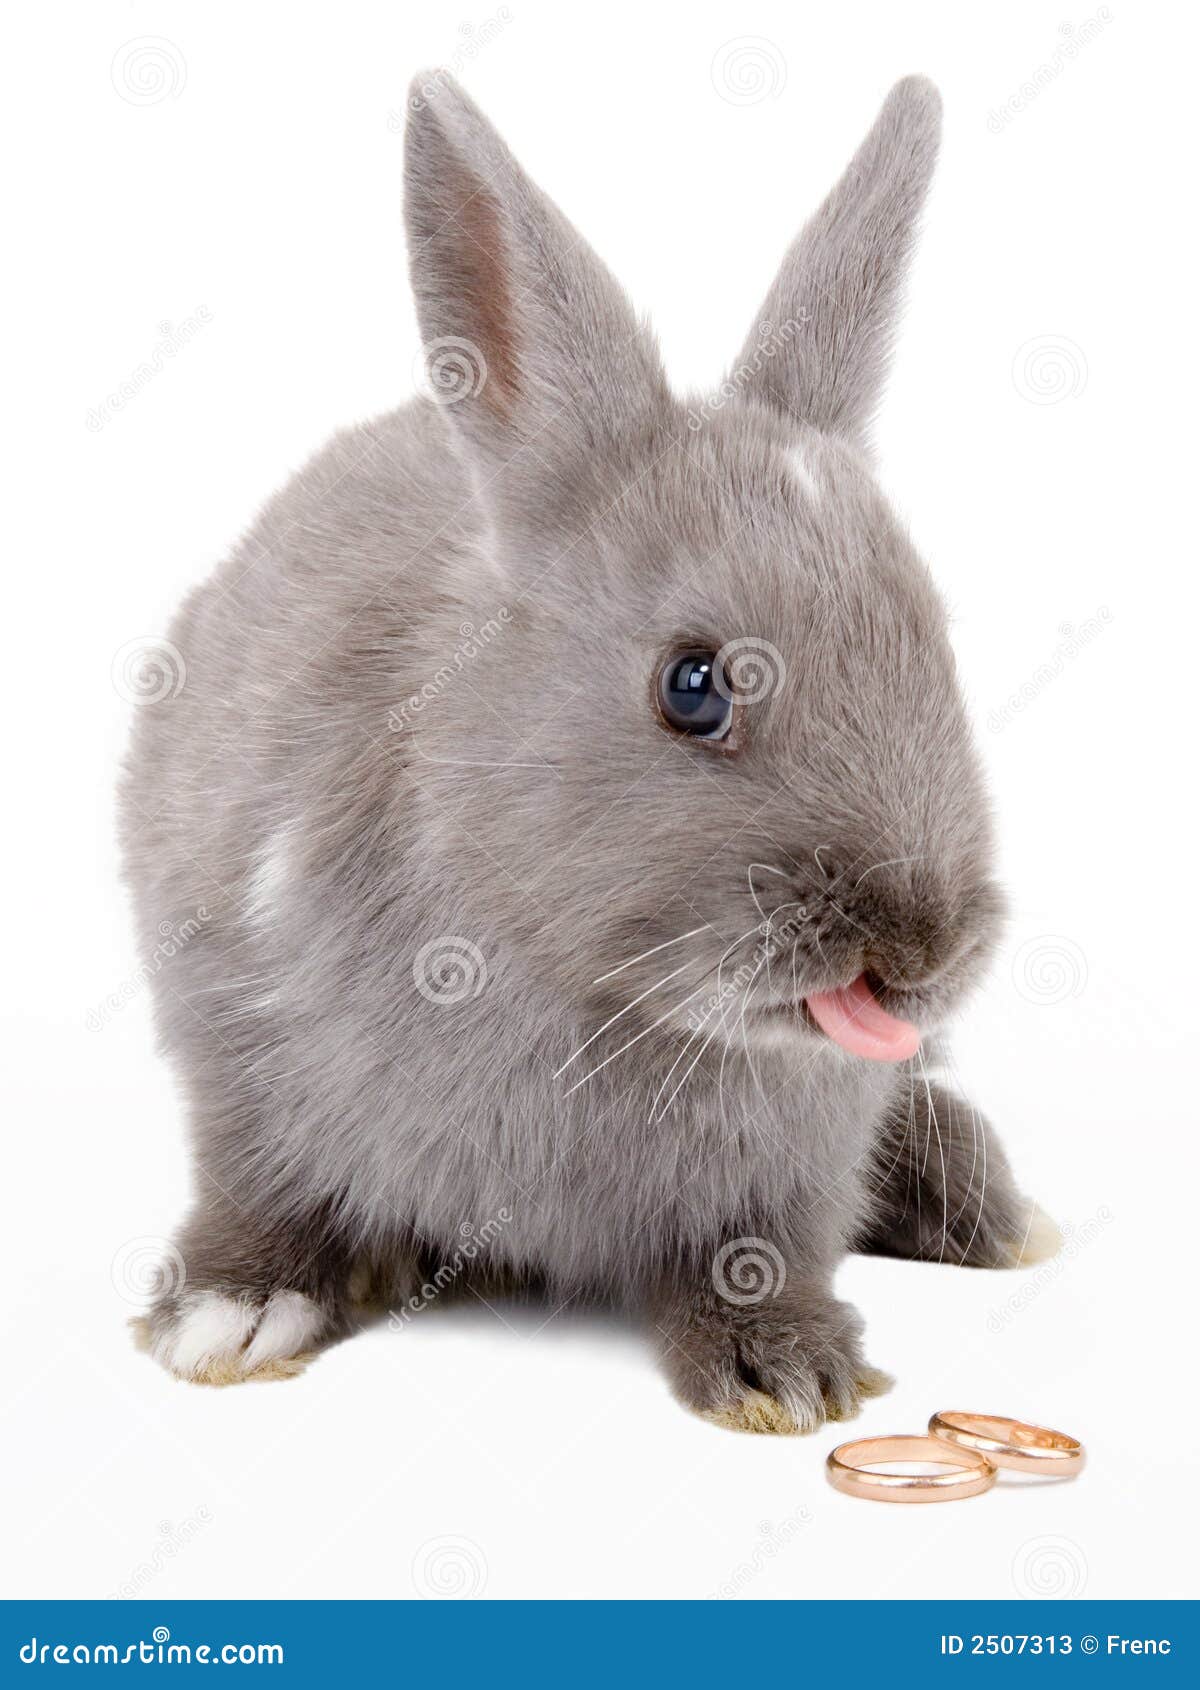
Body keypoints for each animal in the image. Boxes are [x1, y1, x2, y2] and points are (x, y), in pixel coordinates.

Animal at [120, 71, 1058, 1427]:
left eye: (931, 637)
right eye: (695, 685)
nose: (920, 947)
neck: (607, 997)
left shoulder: (794, 1168)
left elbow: (754, 1247)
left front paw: (789, 1372)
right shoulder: (234, 1044)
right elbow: (263, 1188)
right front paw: (228, 1315)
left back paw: (989, 1210)